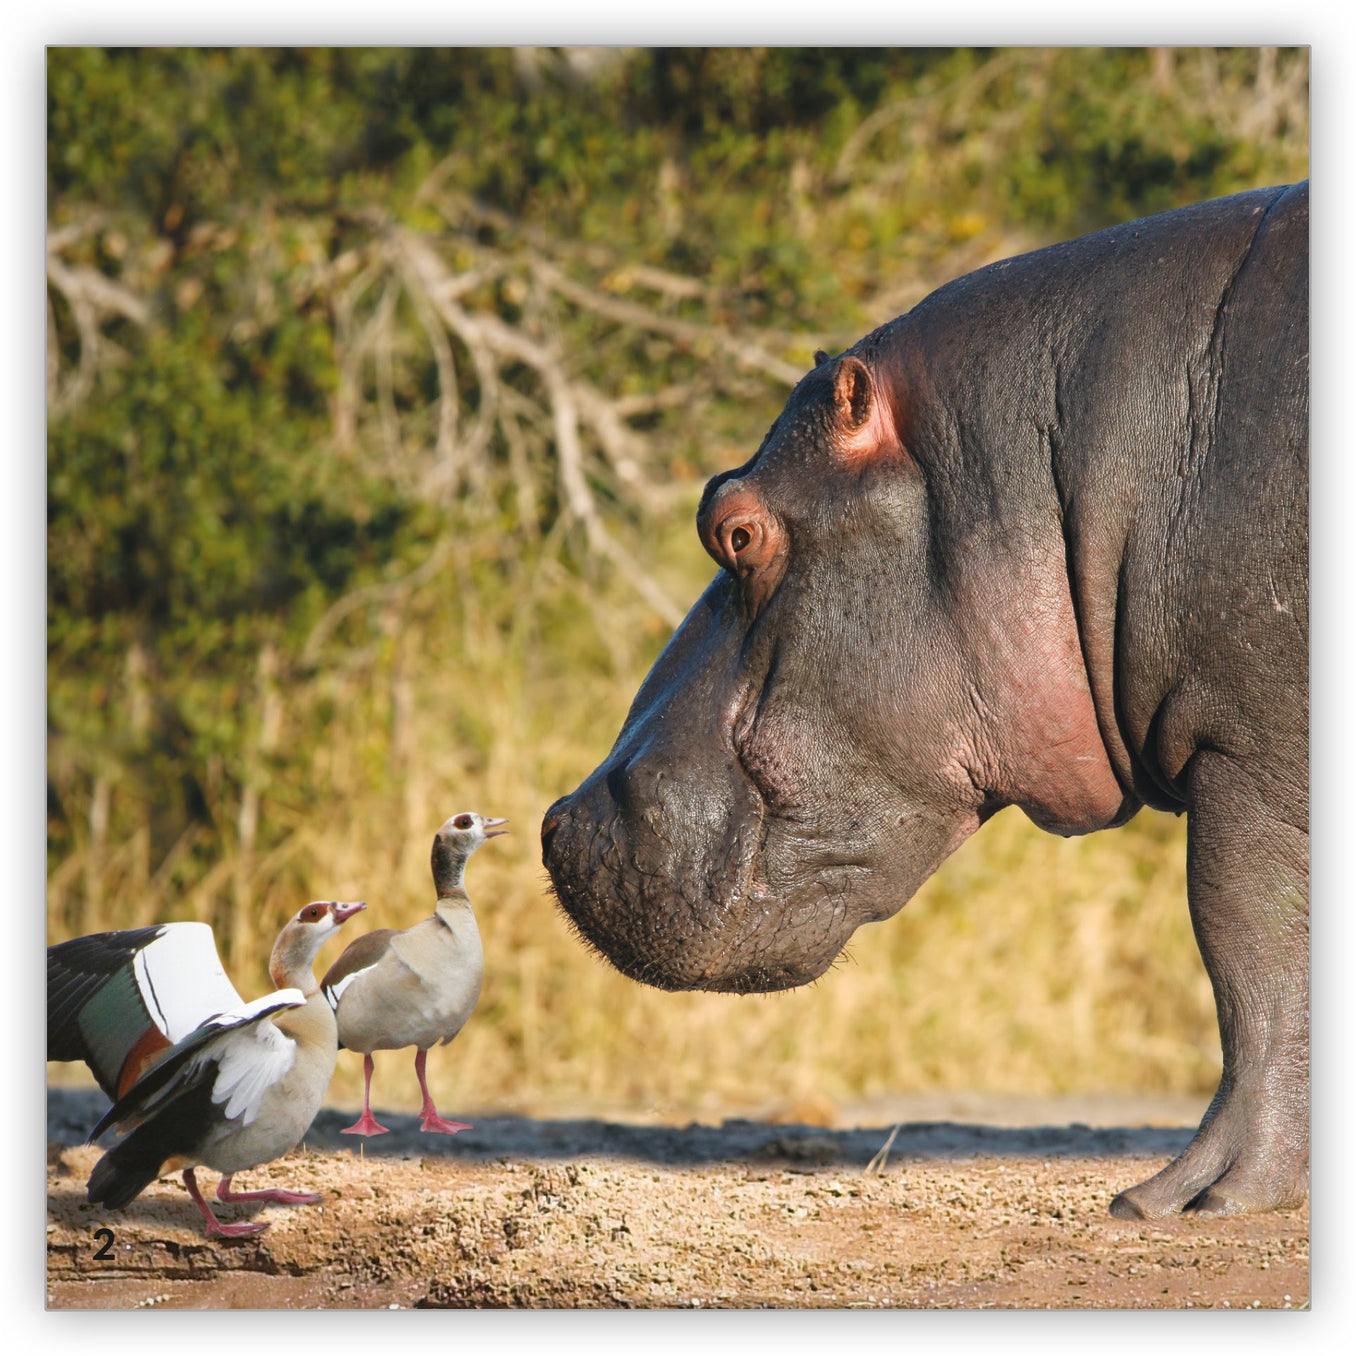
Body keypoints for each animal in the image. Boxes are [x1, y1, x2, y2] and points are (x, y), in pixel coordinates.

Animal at [542, 182, 1308, 1219]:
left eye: (732, 529)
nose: (558, 820)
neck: (1063, 463)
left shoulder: (1252, 749)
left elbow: (1249, 947)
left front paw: (1184, 1201)